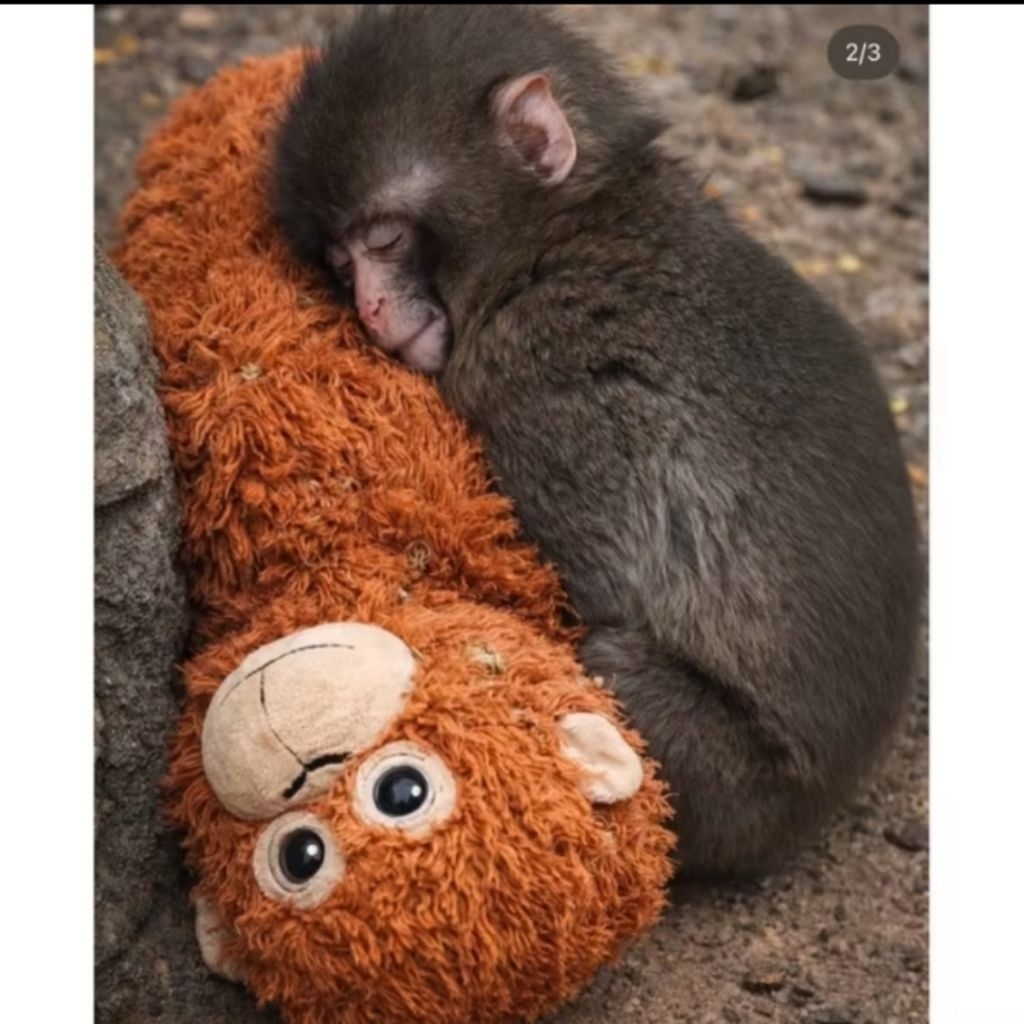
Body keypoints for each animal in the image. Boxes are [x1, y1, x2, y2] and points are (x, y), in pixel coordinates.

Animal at [271, 5, 921, 878]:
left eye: (386, 240)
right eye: (342, 263)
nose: (371, 309)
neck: (561, 234)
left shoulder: (551, 387)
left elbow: (592, 586)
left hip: (730, 778)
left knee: (612, 668)